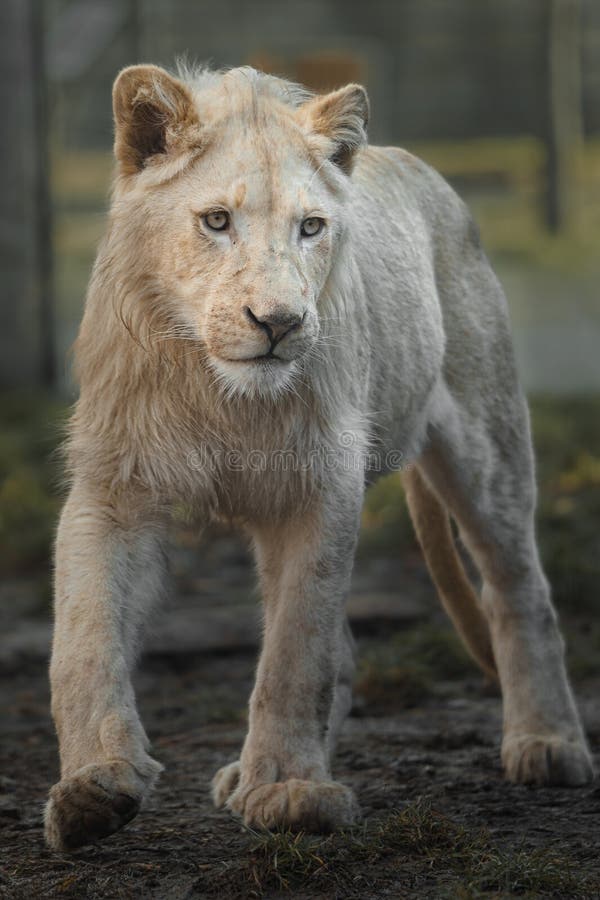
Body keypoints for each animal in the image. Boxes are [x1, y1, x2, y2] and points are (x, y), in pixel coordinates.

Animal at [44, 63, 594, 850]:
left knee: (518, 588)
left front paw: (291, 790)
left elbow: (295, 651)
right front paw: (95, 787)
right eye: (216, 221)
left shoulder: (319, 487)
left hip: (488, 445)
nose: (278, 323)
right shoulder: (113, 486)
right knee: (353, 643)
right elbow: (85, 639)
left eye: (311, 227)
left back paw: (548, 745)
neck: (218, 391)